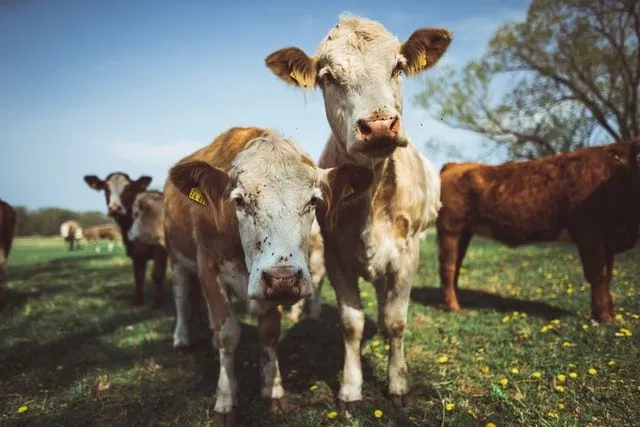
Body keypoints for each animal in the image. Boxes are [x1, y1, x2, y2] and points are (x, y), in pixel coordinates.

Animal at [84, 172, 169, 310]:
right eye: (106, 189)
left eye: (129, 190)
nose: (115, 208)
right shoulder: (134, 251)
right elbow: (138, 275)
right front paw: (137, 301)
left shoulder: (161, 248)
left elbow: (157, 274)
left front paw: (159, 303)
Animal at [164, 125, 376, 420]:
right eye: (239, 201)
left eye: (313, 201)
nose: (283, 278)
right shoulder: (208, 269)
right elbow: (227, 333)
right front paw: (226, 398)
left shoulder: (271, 292)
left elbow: (269, 332)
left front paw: (273, 389)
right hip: (177, 259)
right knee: (181, 297)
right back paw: (182, 338)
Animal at [264, 13, 450, 406]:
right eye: (328, 77)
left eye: (398, 67)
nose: (379, 126)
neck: (372, 199)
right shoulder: (335, 254)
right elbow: (352, 323)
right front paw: (350, 387)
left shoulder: (408, 252)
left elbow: (396, 320)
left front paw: (397, 383)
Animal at [438, 140, 640, 324]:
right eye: (638, 156)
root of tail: (456, 165)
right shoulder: (590, 235)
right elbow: (598, 276)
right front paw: (604, 318)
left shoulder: (609, 241)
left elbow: (608, 276)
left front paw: (611, 315)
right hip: (450, 229)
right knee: (448, 267)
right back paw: (454, 307)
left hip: (463, 233)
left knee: (456, 265)